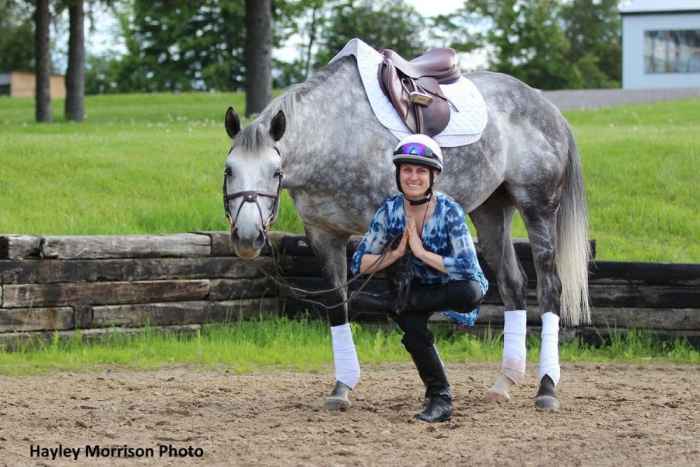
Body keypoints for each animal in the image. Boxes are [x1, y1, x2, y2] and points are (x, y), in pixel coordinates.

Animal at [222, 54, 590, 412]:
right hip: (491, 210)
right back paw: (505, 381)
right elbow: (338, 306)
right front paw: (342, 387)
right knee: (513, 285)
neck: (334, 134)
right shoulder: (323, 235)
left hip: (538, 208)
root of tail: (548, 108)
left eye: (275, 171)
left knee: (550, 288)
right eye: (229, 170)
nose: (247, 237)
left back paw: (546, 388)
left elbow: (400, 298)